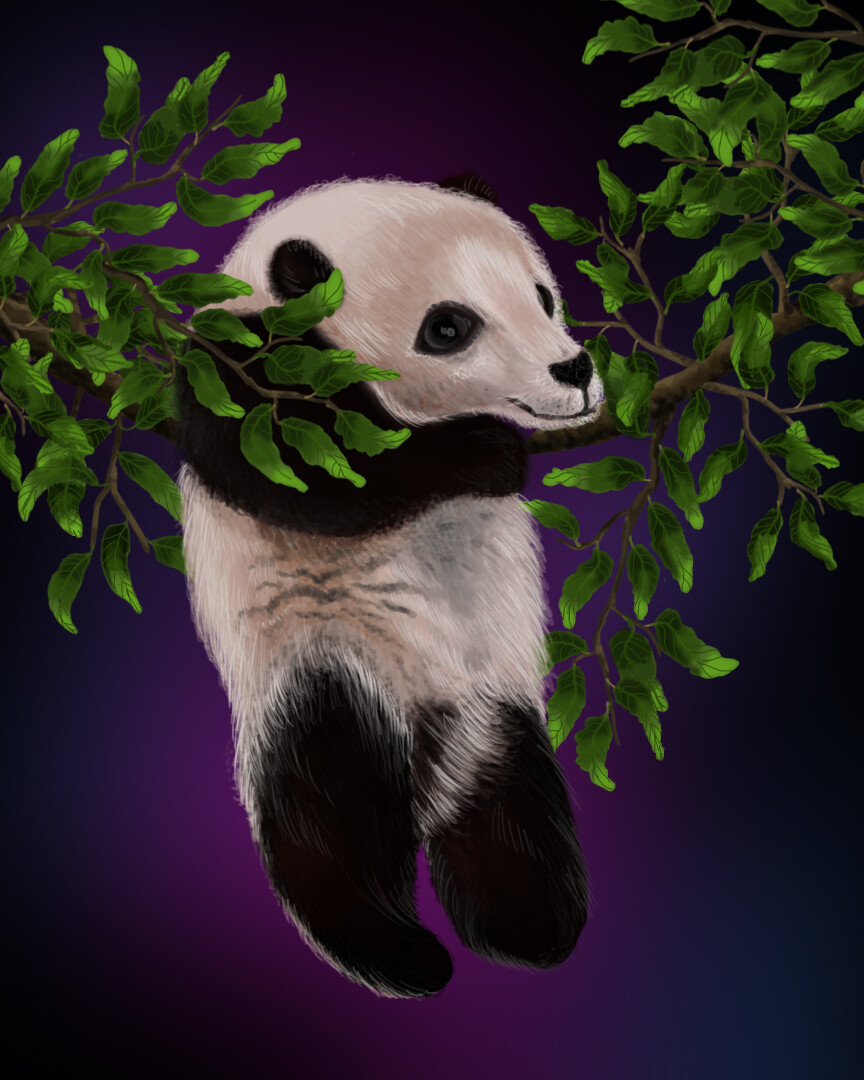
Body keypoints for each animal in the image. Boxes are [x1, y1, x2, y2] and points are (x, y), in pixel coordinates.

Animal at [178, 174, 603, 998]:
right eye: (448, 327)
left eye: (542, 296)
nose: (573, 370)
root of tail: (427, 744)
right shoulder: (235, 364)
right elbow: (310, 466)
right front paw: (489, 451)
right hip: (320, 656)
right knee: (328, 808)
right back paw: (401, 953)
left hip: (488, 702)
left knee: (512, 806)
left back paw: (529, 923)